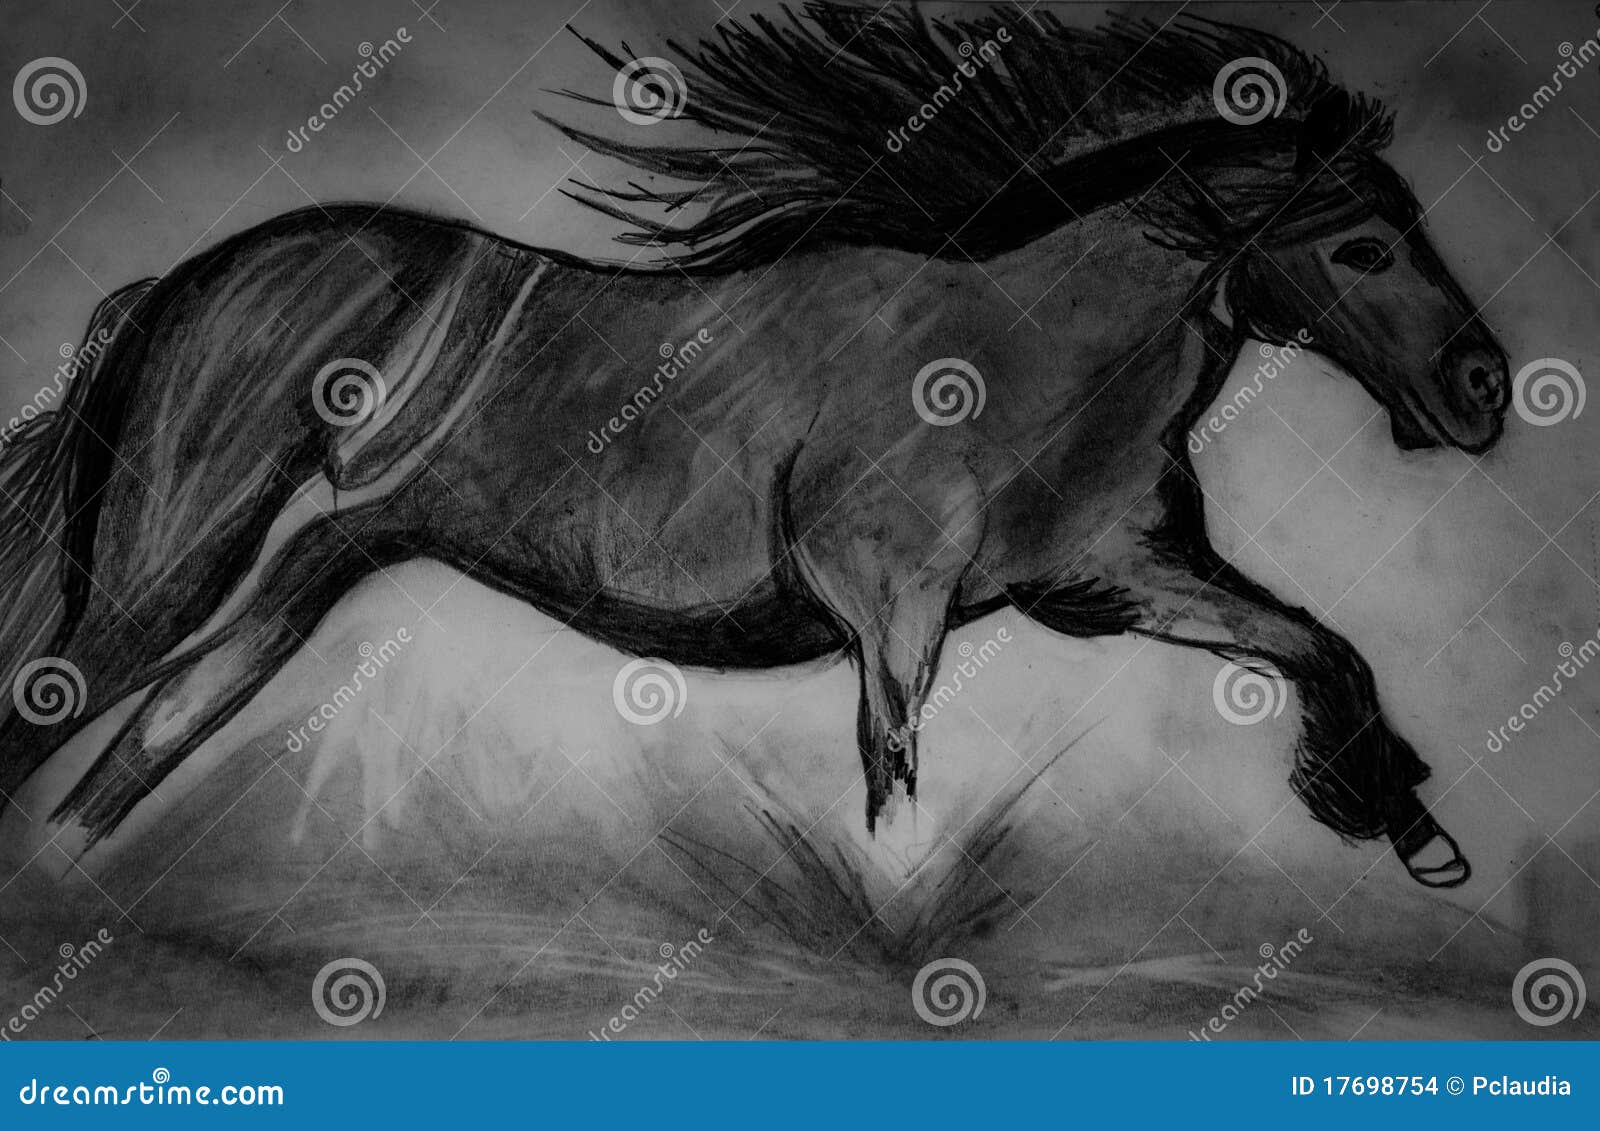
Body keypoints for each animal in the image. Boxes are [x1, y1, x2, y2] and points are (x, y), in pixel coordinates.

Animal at [0, 6, 1508, 888]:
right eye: (1362, 243)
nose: (1486, 388)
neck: (1015, 349)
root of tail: (185, 279)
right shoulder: (894, 612)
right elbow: (895, 797)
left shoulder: (1112, 580)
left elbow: (1319, 643)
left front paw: (1392, 809)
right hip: (173, 560)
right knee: (62, 701)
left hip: (308, 568)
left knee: (144, 741)